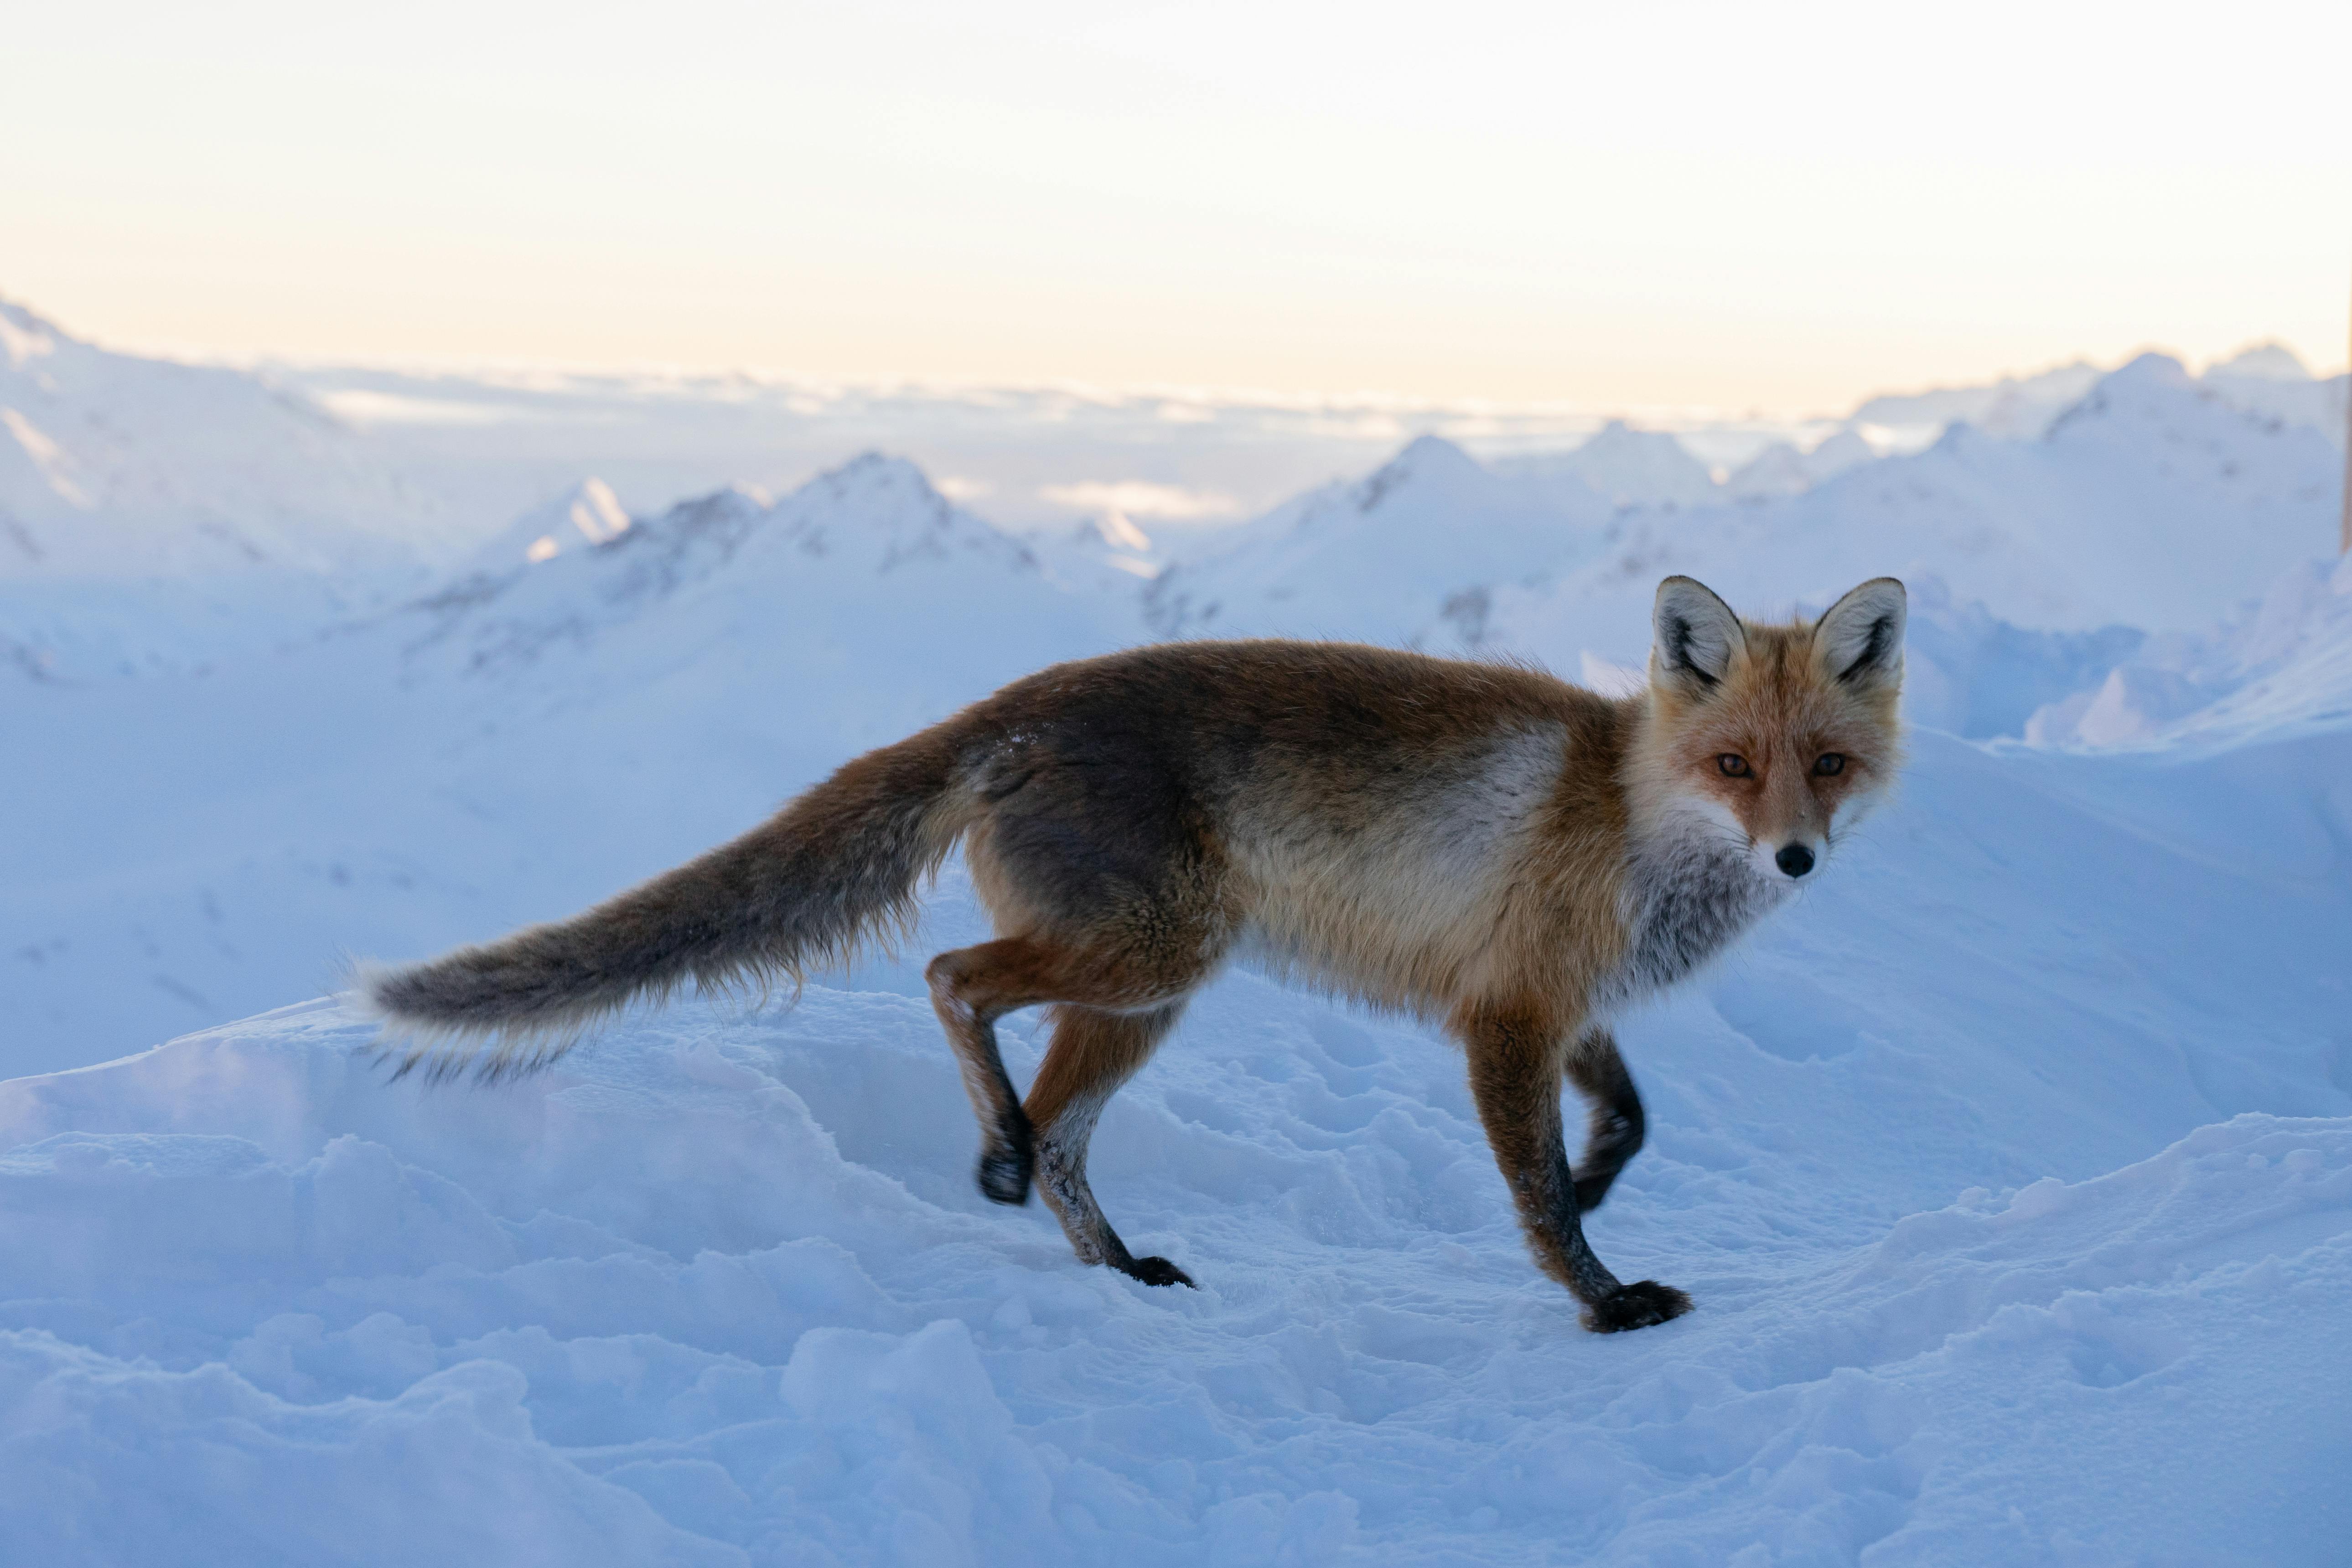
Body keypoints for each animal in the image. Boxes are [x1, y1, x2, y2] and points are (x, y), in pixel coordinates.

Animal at [358, 574, 1906, 1333]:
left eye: (1823, 766)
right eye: (1733, 765)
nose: (1794, 858)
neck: (1627, 812)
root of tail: (1015, 700)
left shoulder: (1549, 1003)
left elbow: (1630, 1124)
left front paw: (1594, 1183)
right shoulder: (1506, 1016)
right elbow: (1541, 1195)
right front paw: (1599, 1300)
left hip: (1145, 992)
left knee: (1058, 1135)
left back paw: (1101, 1256)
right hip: (1156, 951)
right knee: (955, 984)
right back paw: (992, 1152)